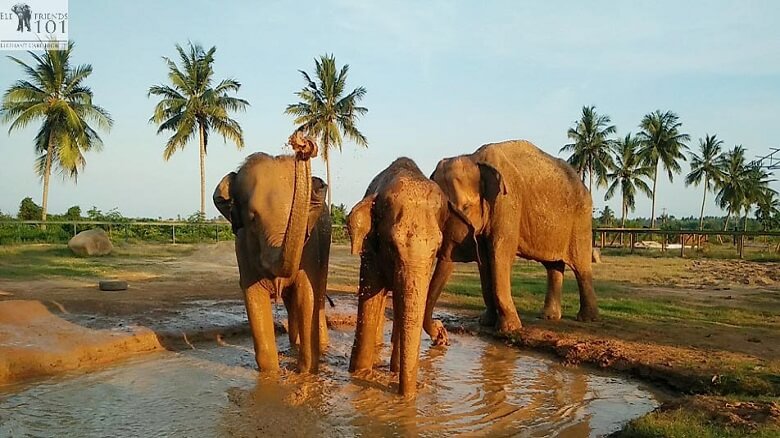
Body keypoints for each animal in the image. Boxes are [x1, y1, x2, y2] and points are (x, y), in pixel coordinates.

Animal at [213, 131, 331, 373]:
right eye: (252, 219)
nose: (304, 145)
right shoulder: (243, 249)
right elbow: (253, 296)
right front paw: (271, 375)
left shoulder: (309, 247)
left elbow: (307, 294)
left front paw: (306, 372)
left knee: (318, 294)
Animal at [347, 157, 464, 397]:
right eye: (392, 246)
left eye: (436, 248)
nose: (408, 395)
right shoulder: (370, 250)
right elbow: (371, 297)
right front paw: (361, 374)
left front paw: (393, 374)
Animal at [423, 139, 599, 339]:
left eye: (466, 207)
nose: (440, 331)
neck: (474, 158)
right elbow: (484, 261)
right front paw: (486, 322)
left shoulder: (507, 203)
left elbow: (500, 254)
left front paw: (509, 328)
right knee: (553, 266)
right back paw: (548, 317)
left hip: (581, 219)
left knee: (581, 266)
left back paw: (587, 319)